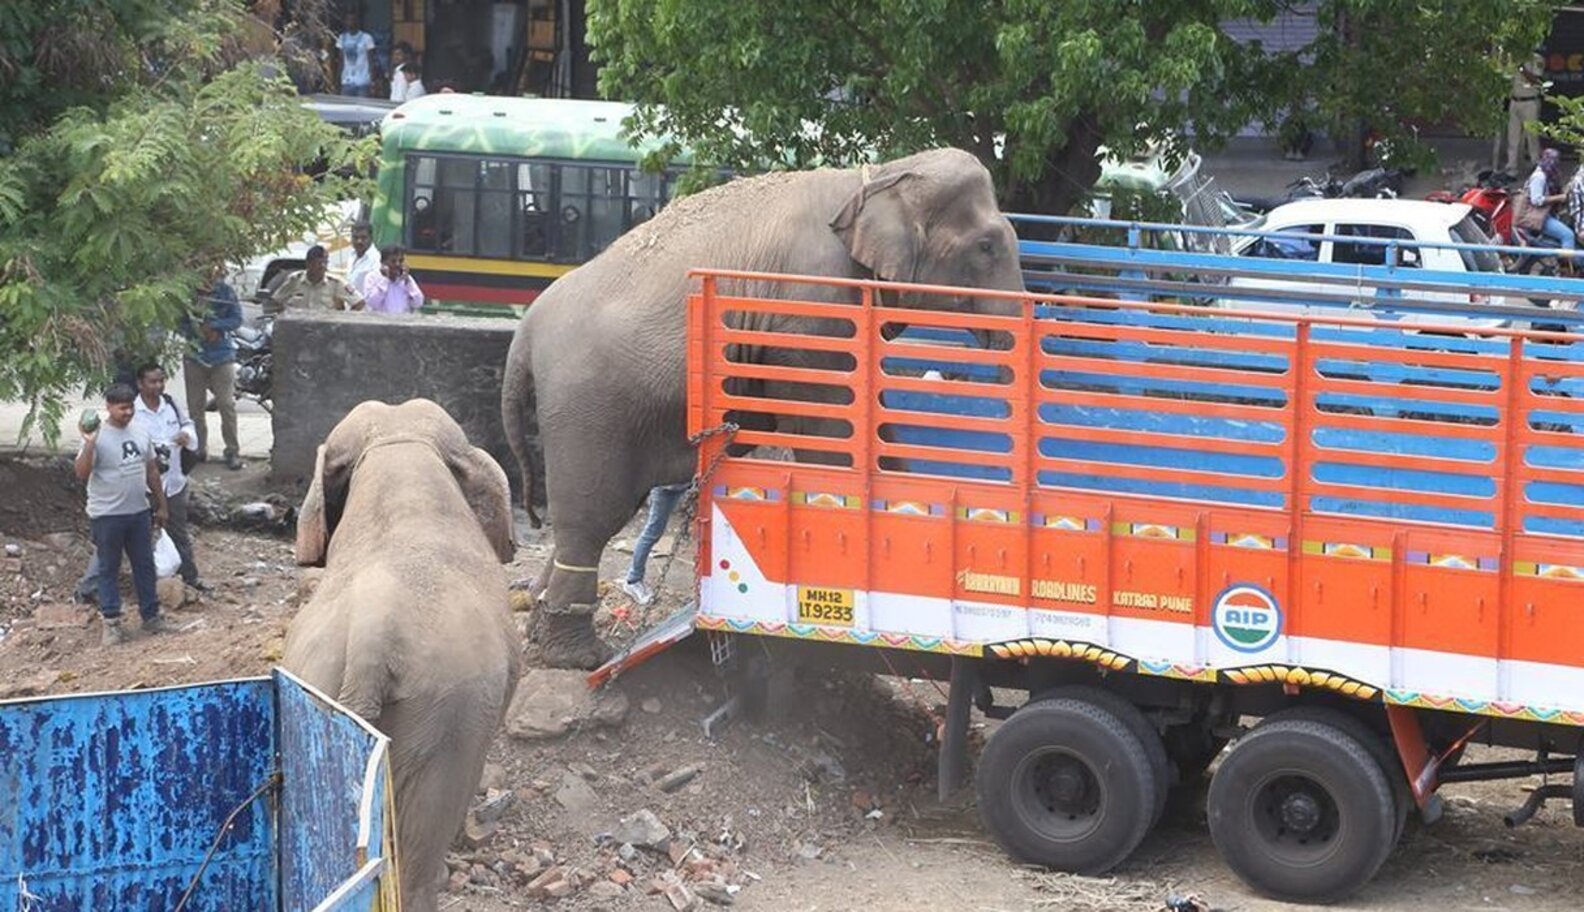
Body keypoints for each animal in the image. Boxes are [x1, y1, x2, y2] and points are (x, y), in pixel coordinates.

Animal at [501, 146, 1027, 669]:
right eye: (986, 246)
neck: (877, 176)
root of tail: (523, 335)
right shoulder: (811, 313)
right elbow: (833, 427)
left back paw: (539, 633)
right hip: (588, 406)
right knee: (593, 514)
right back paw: (580, 657)